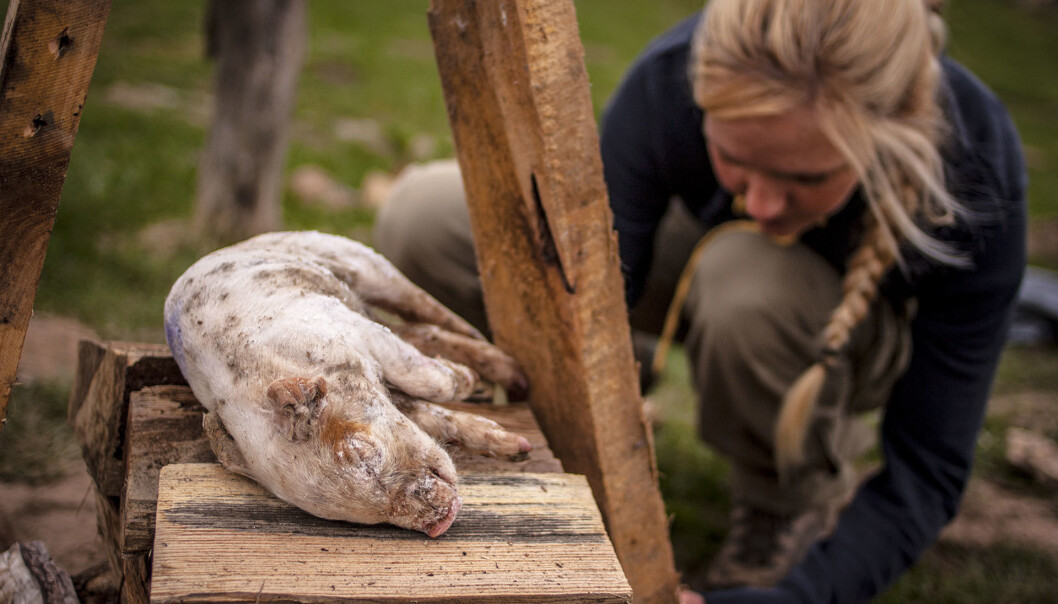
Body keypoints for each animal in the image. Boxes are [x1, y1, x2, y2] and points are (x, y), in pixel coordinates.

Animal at [163, 231, 531, 538]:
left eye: (362, 452)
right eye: (363, 516)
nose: (443, 522)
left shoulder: (354, 328)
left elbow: (429, 381)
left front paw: (467, 381)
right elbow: (429, 413)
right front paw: (520, 449)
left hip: (359, 260)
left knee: (424, 308)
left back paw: (503, 370)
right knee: (423, 331)